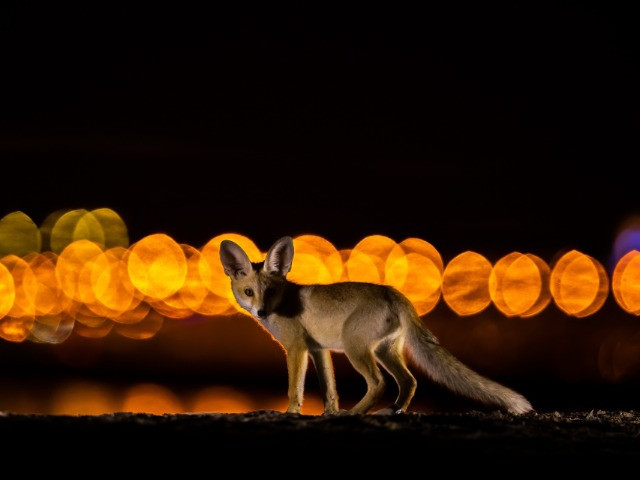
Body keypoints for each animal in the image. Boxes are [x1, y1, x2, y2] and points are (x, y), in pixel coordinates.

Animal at [219, 236, 533, 415]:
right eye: (249, 292)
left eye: (270, 291)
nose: (261, 311)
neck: (283, 302)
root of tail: (394, 293)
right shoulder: (319, 349)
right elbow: (329, 389)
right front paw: (330, 414)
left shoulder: (297, 349)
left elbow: (295, 389)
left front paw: (290, 413)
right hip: (385, 351)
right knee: (410, 381)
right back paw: (393, 411)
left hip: (355, 348)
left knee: (380, 383)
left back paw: (357, 413)